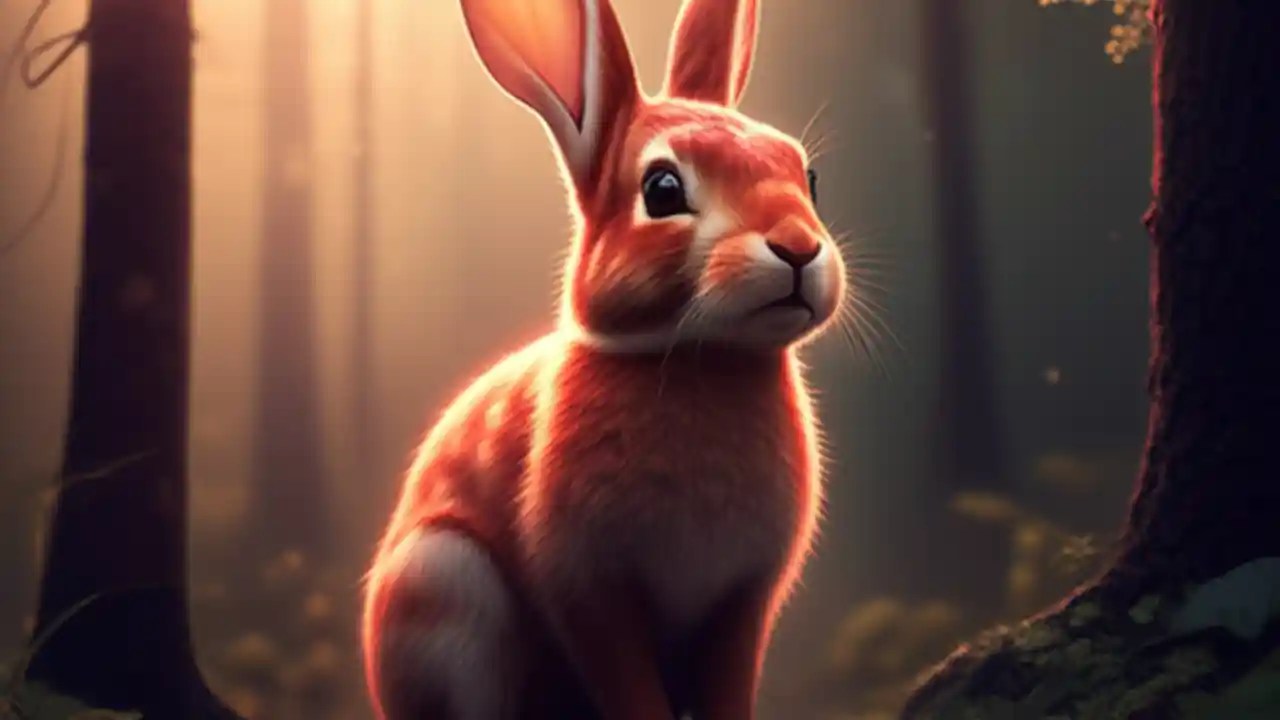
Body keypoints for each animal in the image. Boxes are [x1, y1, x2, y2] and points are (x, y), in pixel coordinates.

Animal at [362, 0, 846, 718]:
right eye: (662, 189)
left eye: (807, 178)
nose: (798, 247)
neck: (701, 357)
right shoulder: (590, 590)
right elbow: (628, 685)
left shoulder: (742, 601)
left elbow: (729, 688)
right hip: (444, 586)